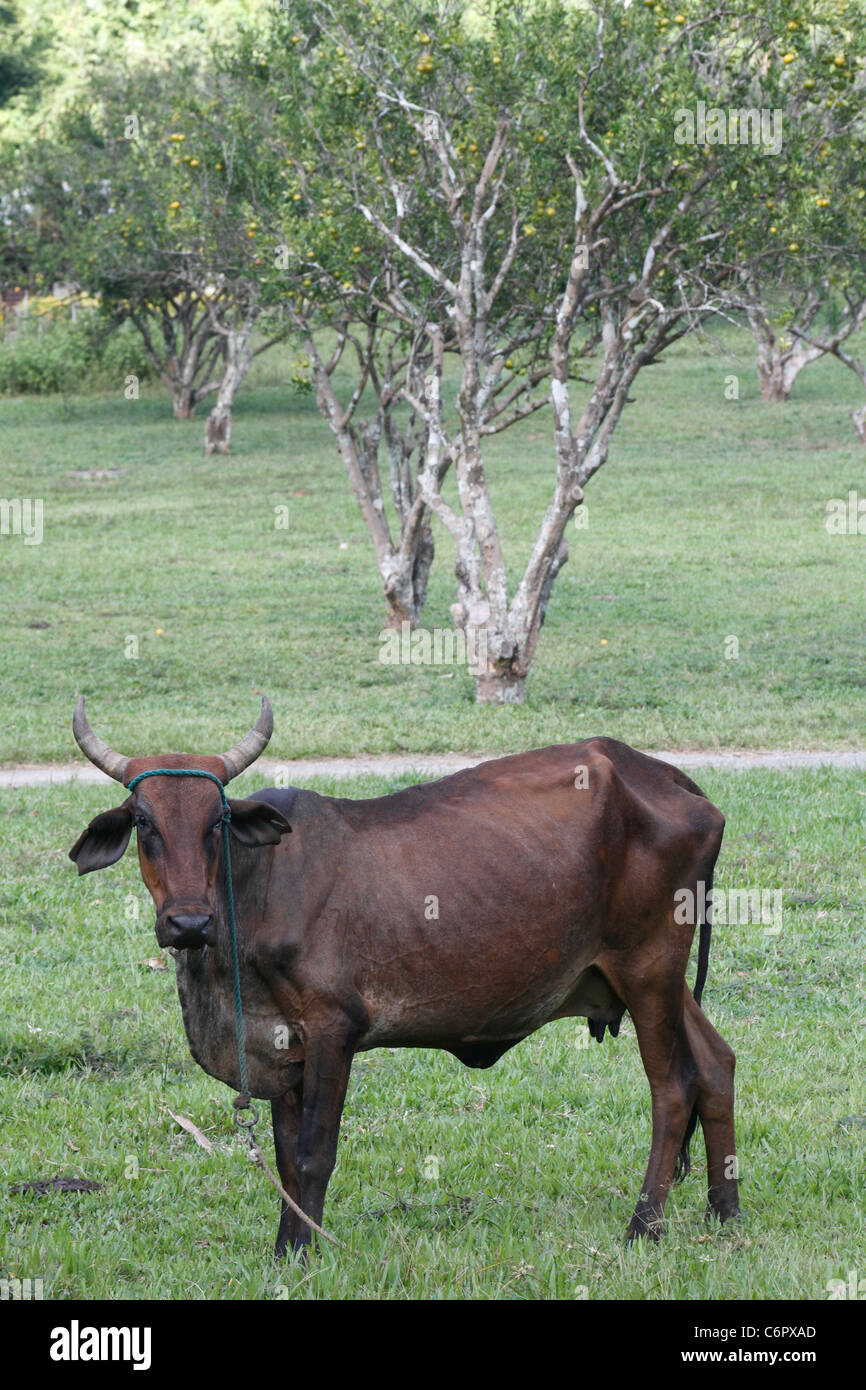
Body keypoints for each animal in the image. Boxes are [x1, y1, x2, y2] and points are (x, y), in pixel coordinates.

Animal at [69, 696, 740, 1256]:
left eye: (218, 820)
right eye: (144, 822)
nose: (187, 921)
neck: (252, 894)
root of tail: (657, 772)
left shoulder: (335, 1028)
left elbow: (312, 1154)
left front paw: (307, 1253)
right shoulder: (281, 1043)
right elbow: (284, 1159)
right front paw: (286, 1247)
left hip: (648, 967)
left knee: (672, 1088)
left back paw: (644, 1226)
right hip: (651, 978)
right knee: (716, 1064)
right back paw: (725, 1211)